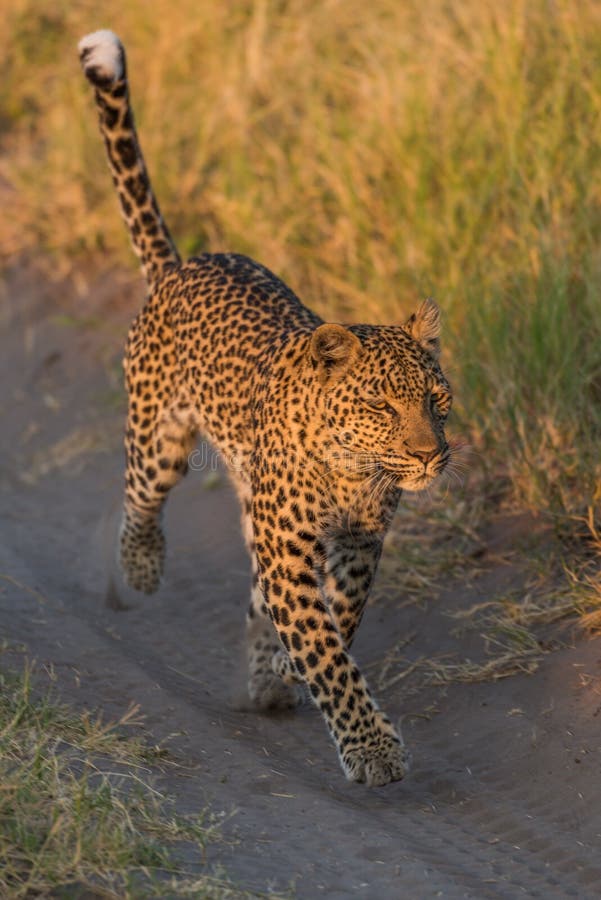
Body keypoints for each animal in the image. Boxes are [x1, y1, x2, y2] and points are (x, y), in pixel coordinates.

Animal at [78, 29, 453, 787]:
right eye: (382, 405)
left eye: (435, 400)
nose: (430, 454)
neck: (352, 472)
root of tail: (183, 265)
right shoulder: (289, 550)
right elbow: (329, 652)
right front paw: (370, 749)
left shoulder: (359, 545)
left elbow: (340, 621)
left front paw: (283, 664)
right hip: (160, 437)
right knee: (140, 494)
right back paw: (140, 564)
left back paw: (265, 672)